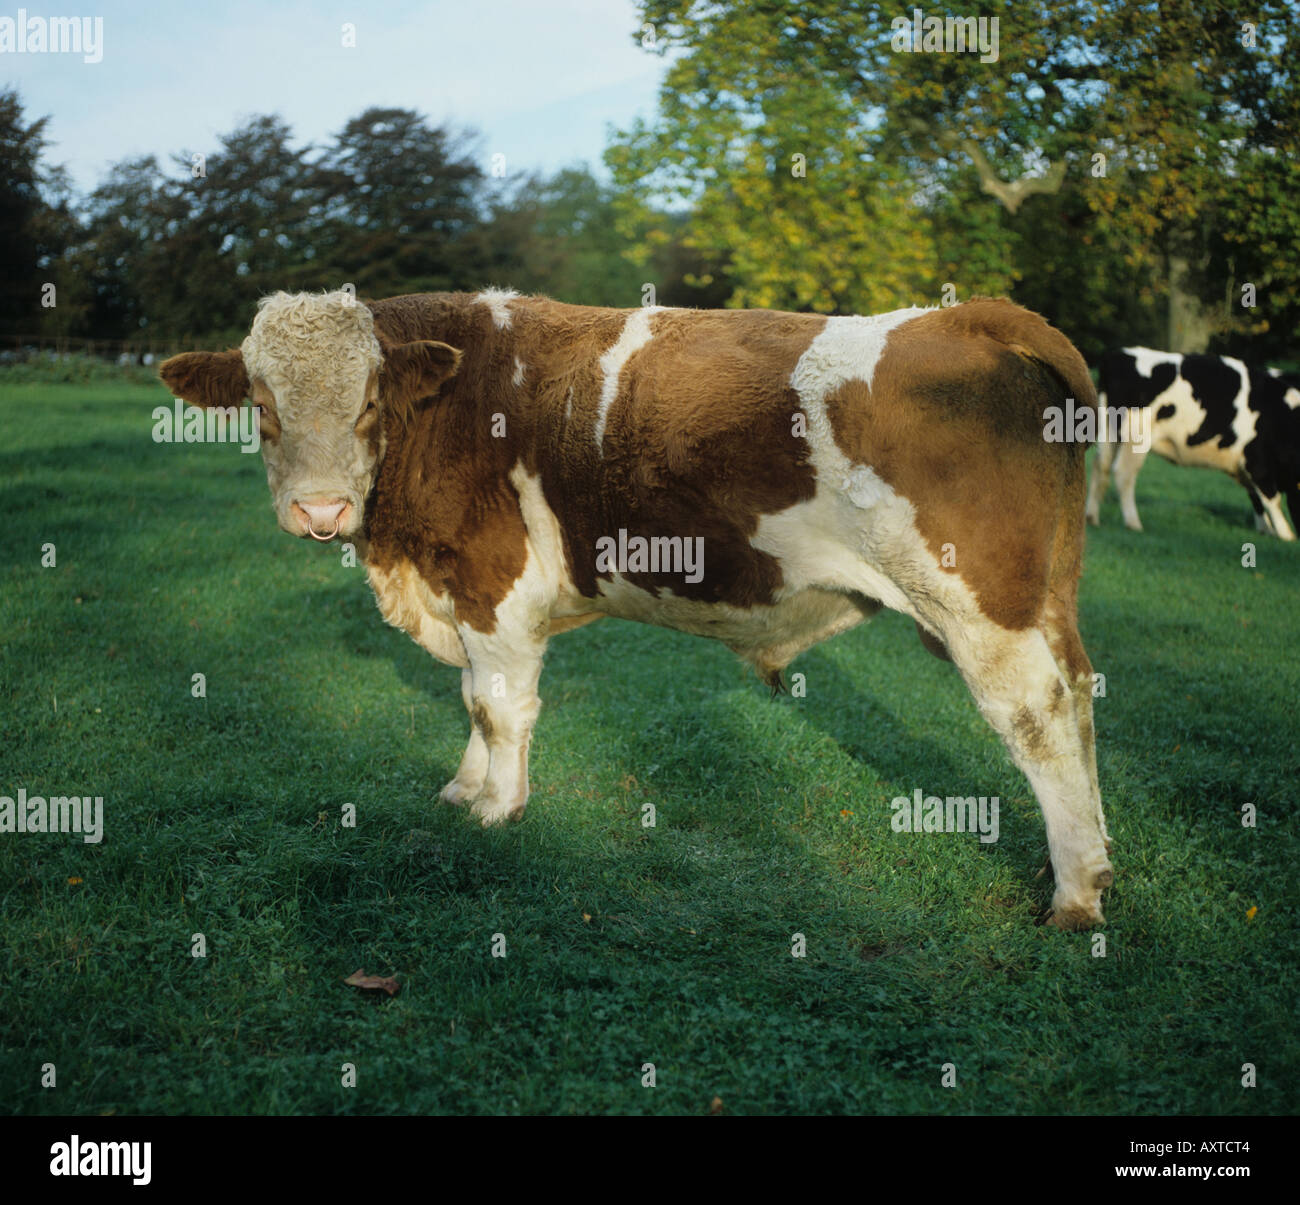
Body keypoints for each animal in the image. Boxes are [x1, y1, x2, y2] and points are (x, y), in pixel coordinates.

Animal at [159, 290, 1113, 929]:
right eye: (261, 405)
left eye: (366, 402)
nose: (318, 509)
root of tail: (977, 316)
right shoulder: (464, 597)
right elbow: (471, 699)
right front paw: (462, 789)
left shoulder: (495, 583)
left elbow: (499, 705)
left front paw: (498, 808)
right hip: (1044, 599)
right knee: (1080, 696)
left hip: (980, 605)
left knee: (1036, 717)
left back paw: (1074, 894)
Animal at [1085, 347, 1300, 539]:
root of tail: (1117, 356)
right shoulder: (1258, 461)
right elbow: (1272, 499)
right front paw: (1285, 535)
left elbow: (1256, 498)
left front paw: (1266, 530)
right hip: (1135, 436)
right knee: (1123, 473)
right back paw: (1133, 522)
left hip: (1109, 433)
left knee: (1100, 466)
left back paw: (1092, 517)